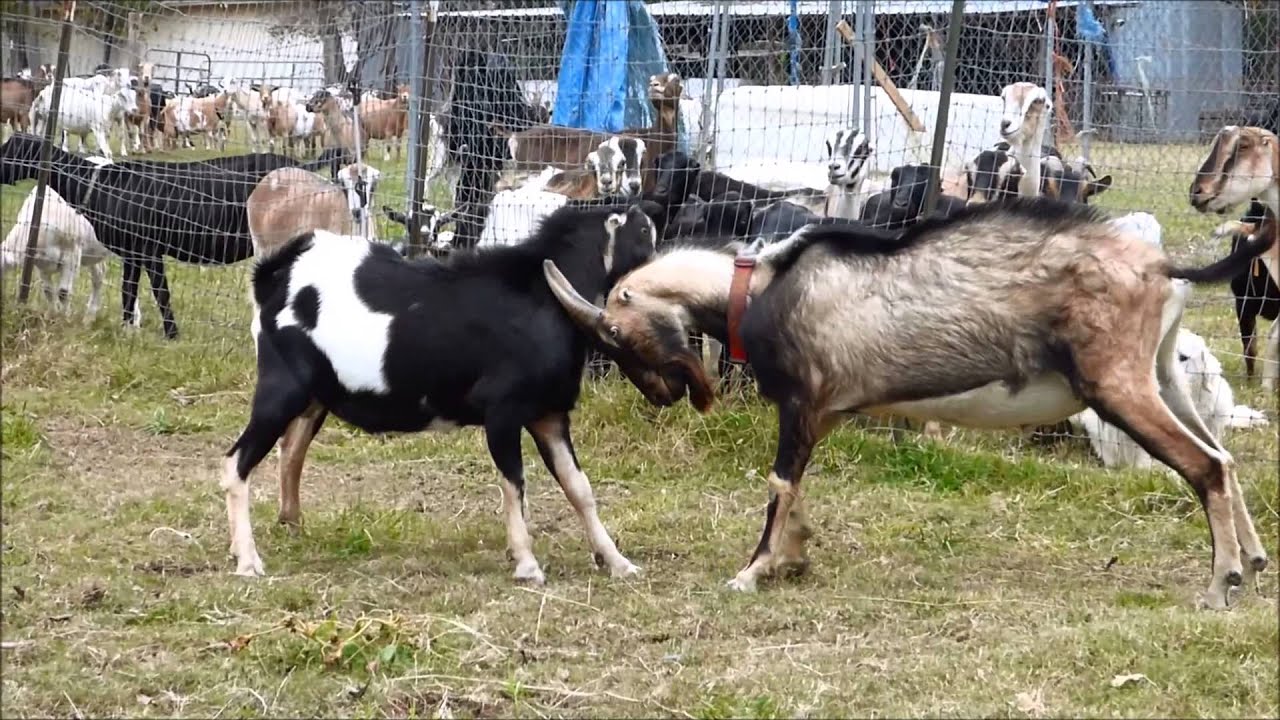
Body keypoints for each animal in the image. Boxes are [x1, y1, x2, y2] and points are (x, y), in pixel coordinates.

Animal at [219, 202, 658, 582]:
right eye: (643, 232)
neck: (544, 296)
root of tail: (273, 276)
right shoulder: (503, 413)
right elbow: (514, 485)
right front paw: (527, 564)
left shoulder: (548, 415)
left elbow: (579, 488)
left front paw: (618, 562)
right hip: (282, 388)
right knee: (236, 462)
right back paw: (248, 560)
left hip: (314, 397)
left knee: (290, 451)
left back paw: (291, 526)